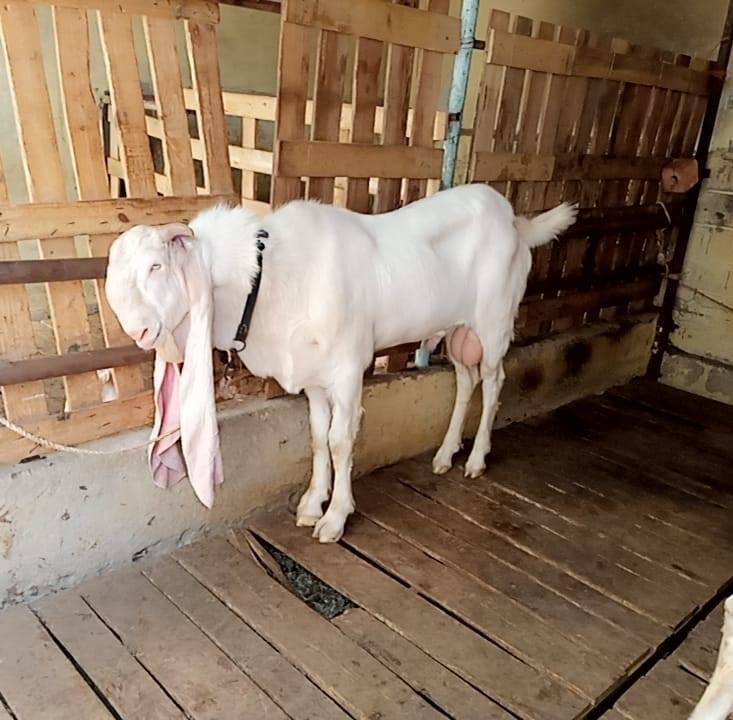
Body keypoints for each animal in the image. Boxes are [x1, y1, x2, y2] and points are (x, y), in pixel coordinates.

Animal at [105, 183, 576, 542]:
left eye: (156, 266)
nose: (138, 331)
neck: (267, 280)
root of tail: (515, 220)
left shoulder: (349, 370)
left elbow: (340, 441)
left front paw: (335, 517)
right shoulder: (314, 377)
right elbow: (316, 438)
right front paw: (313, 503)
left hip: (493, 323)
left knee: (494, 381)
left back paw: (476, 459)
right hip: (458, 331)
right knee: (465, 380)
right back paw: (445, 455)